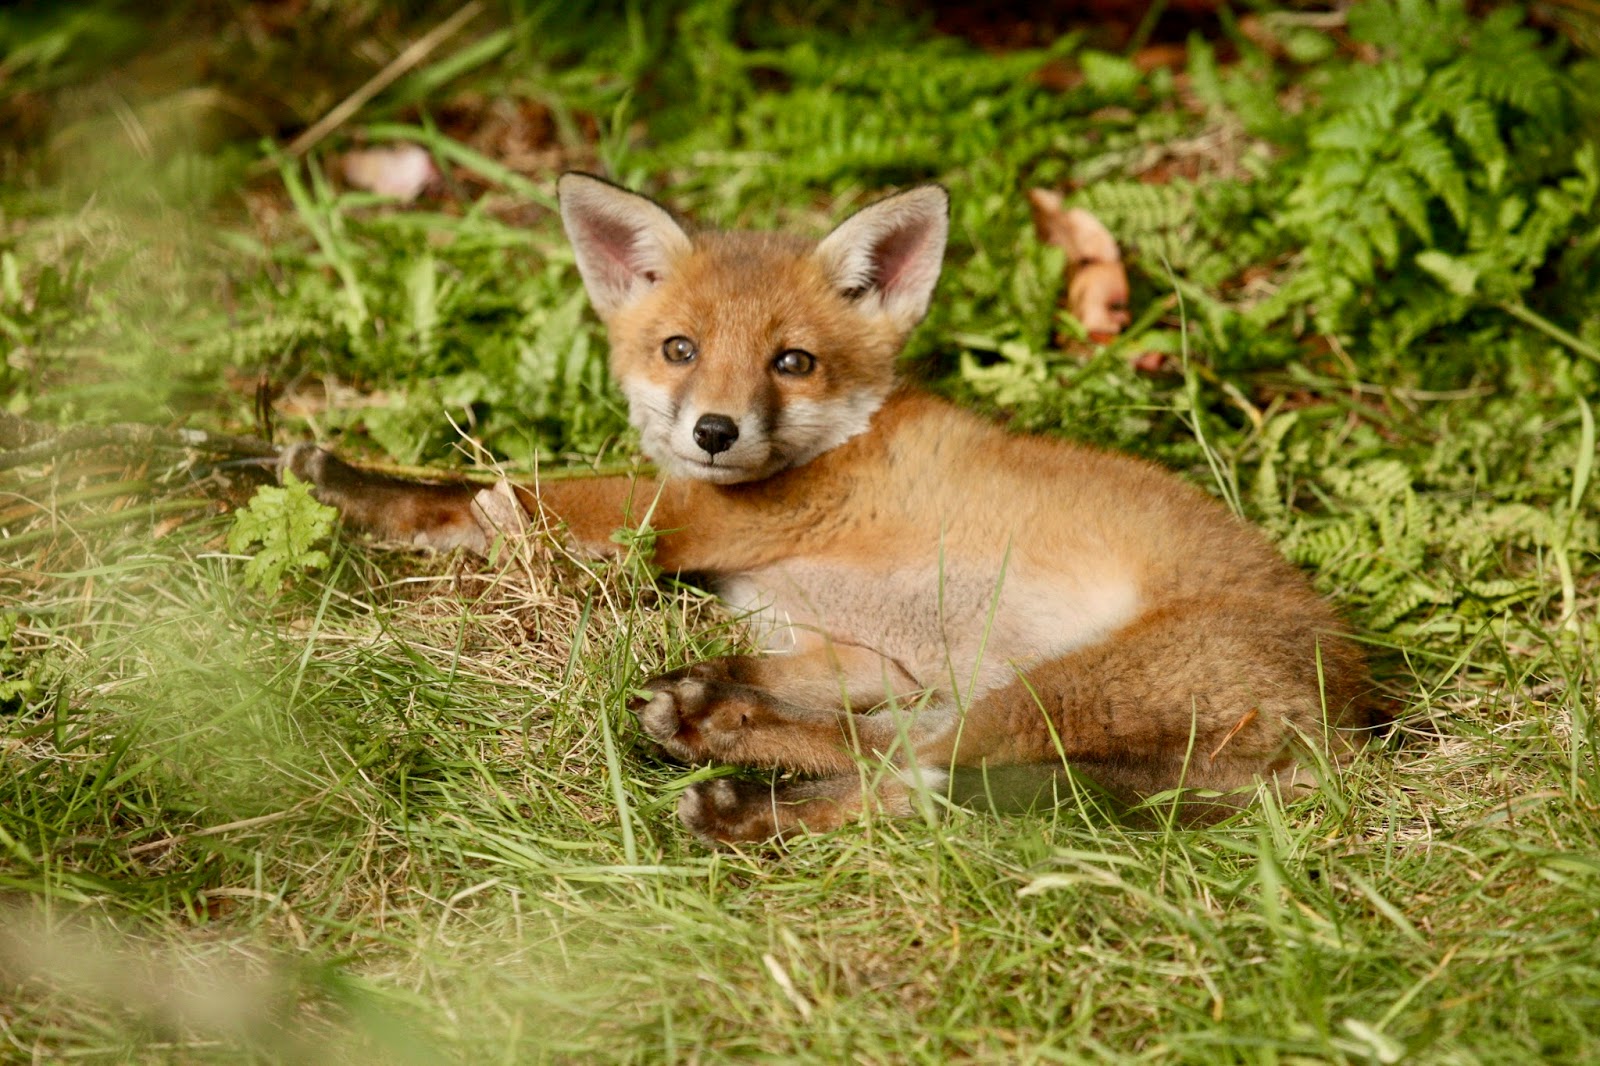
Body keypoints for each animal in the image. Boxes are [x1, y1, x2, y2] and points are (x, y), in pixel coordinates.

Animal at [281, 173, 1375, 844]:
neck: (842, 443)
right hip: (991, 688)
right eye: (679, 348)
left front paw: (345, 484)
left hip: (1050, 691)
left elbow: (489, 495)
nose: (713, 431)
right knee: (897, 753)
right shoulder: (855, 649)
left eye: (792, 362)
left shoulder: (688, 519)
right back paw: (709, 724)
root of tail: (1349, 708)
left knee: (910, 786)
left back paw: (741, 806)